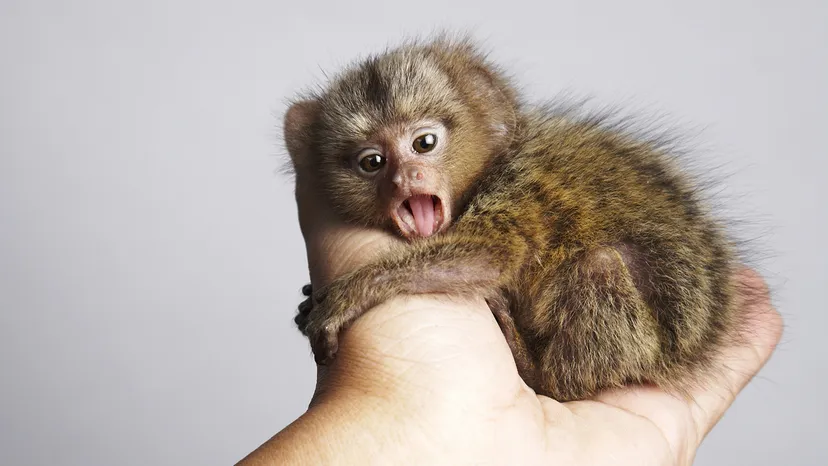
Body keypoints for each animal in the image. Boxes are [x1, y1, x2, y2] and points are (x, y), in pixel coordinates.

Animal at [283, 36, 740, 402]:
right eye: (372, 163)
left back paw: (536, 373)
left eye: (424, 143)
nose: (404, 178)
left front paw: (351, 294)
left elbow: (490, 255)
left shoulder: (517, 187)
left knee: (600, 266)